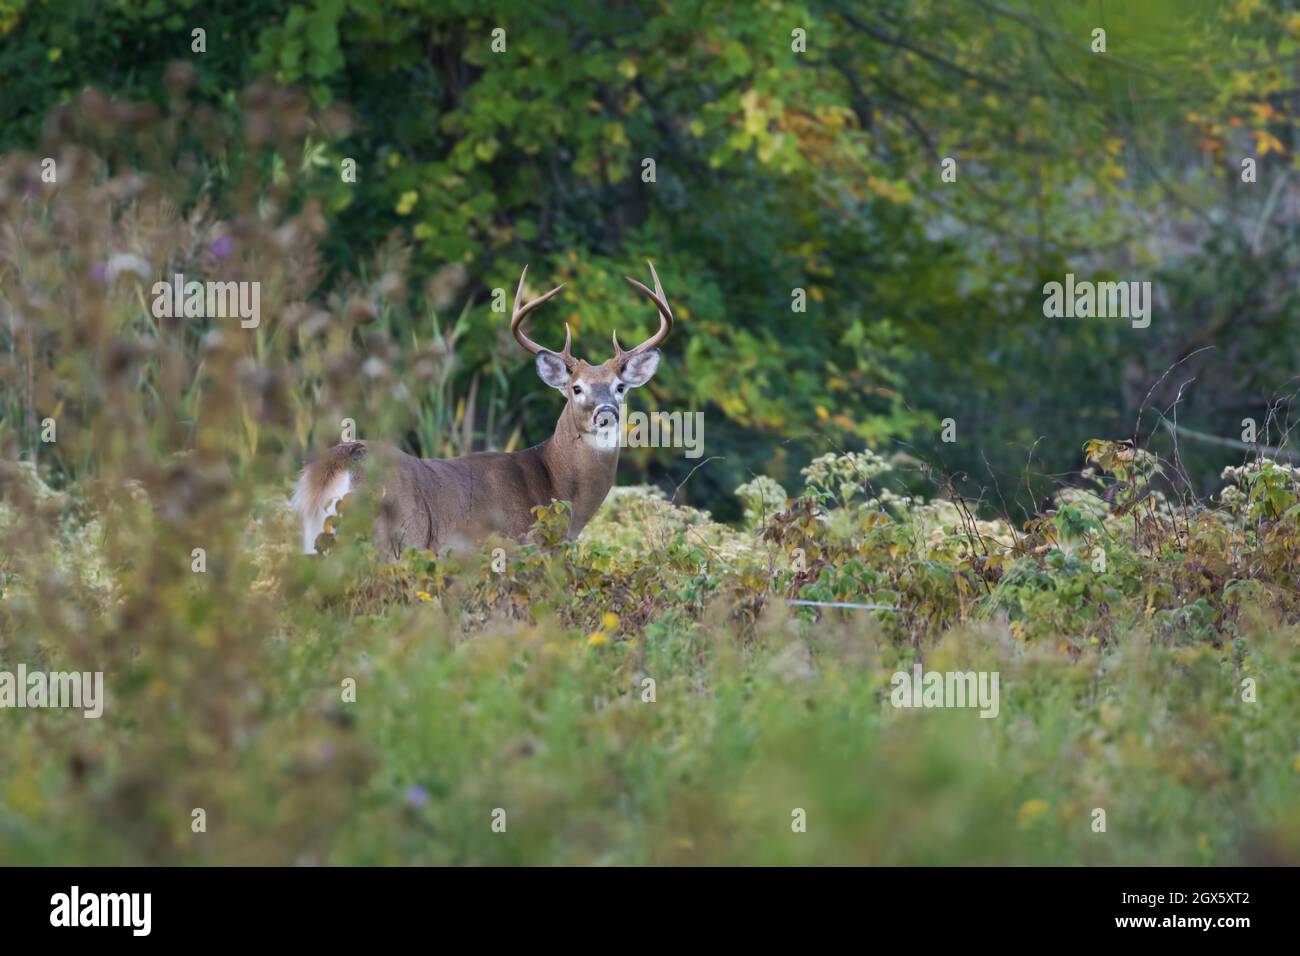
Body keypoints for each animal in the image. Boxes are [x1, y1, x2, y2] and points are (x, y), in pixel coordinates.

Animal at [291, 262, 674, 558]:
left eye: (620, 387)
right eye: (576, 388)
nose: (606, 412)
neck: (555, 484)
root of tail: (340, 460)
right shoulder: (518, 547)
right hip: (389, 539)